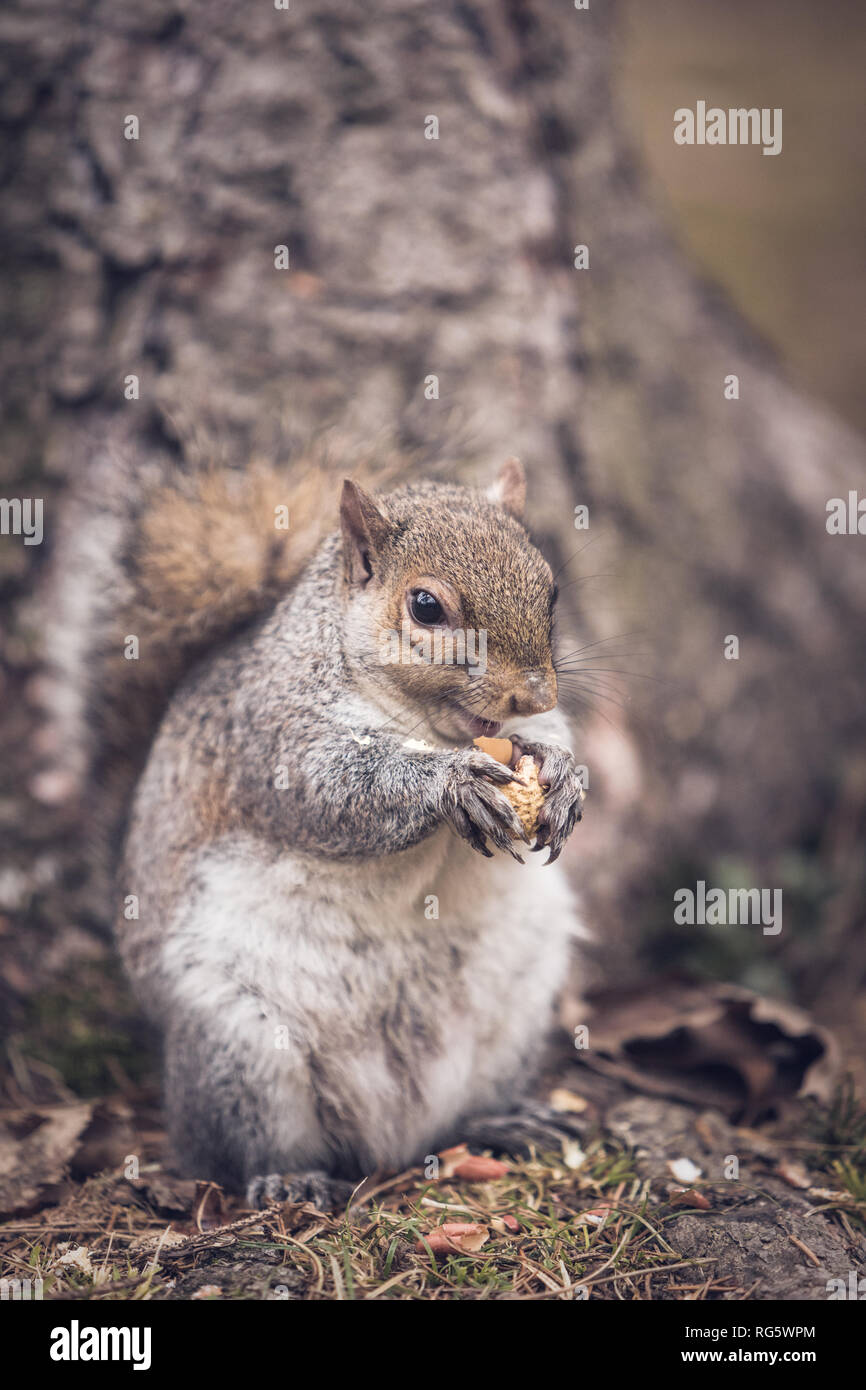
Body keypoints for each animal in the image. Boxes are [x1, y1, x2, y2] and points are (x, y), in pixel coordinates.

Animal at [44, 448, 586, 1207]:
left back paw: (506, 1120)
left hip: (516, 1011)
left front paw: (564, 776)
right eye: (426, 606)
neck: (429, 726)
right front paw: (451, 783)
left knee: (464, 1111)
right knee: (233, 1148)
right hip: (237, 1045)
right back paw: (286, 1178)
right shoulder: (275, 729)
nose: (534, 693)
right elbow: (327, 790)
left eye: (552, 591)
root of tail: (391, 1138)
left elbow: (551, 740)